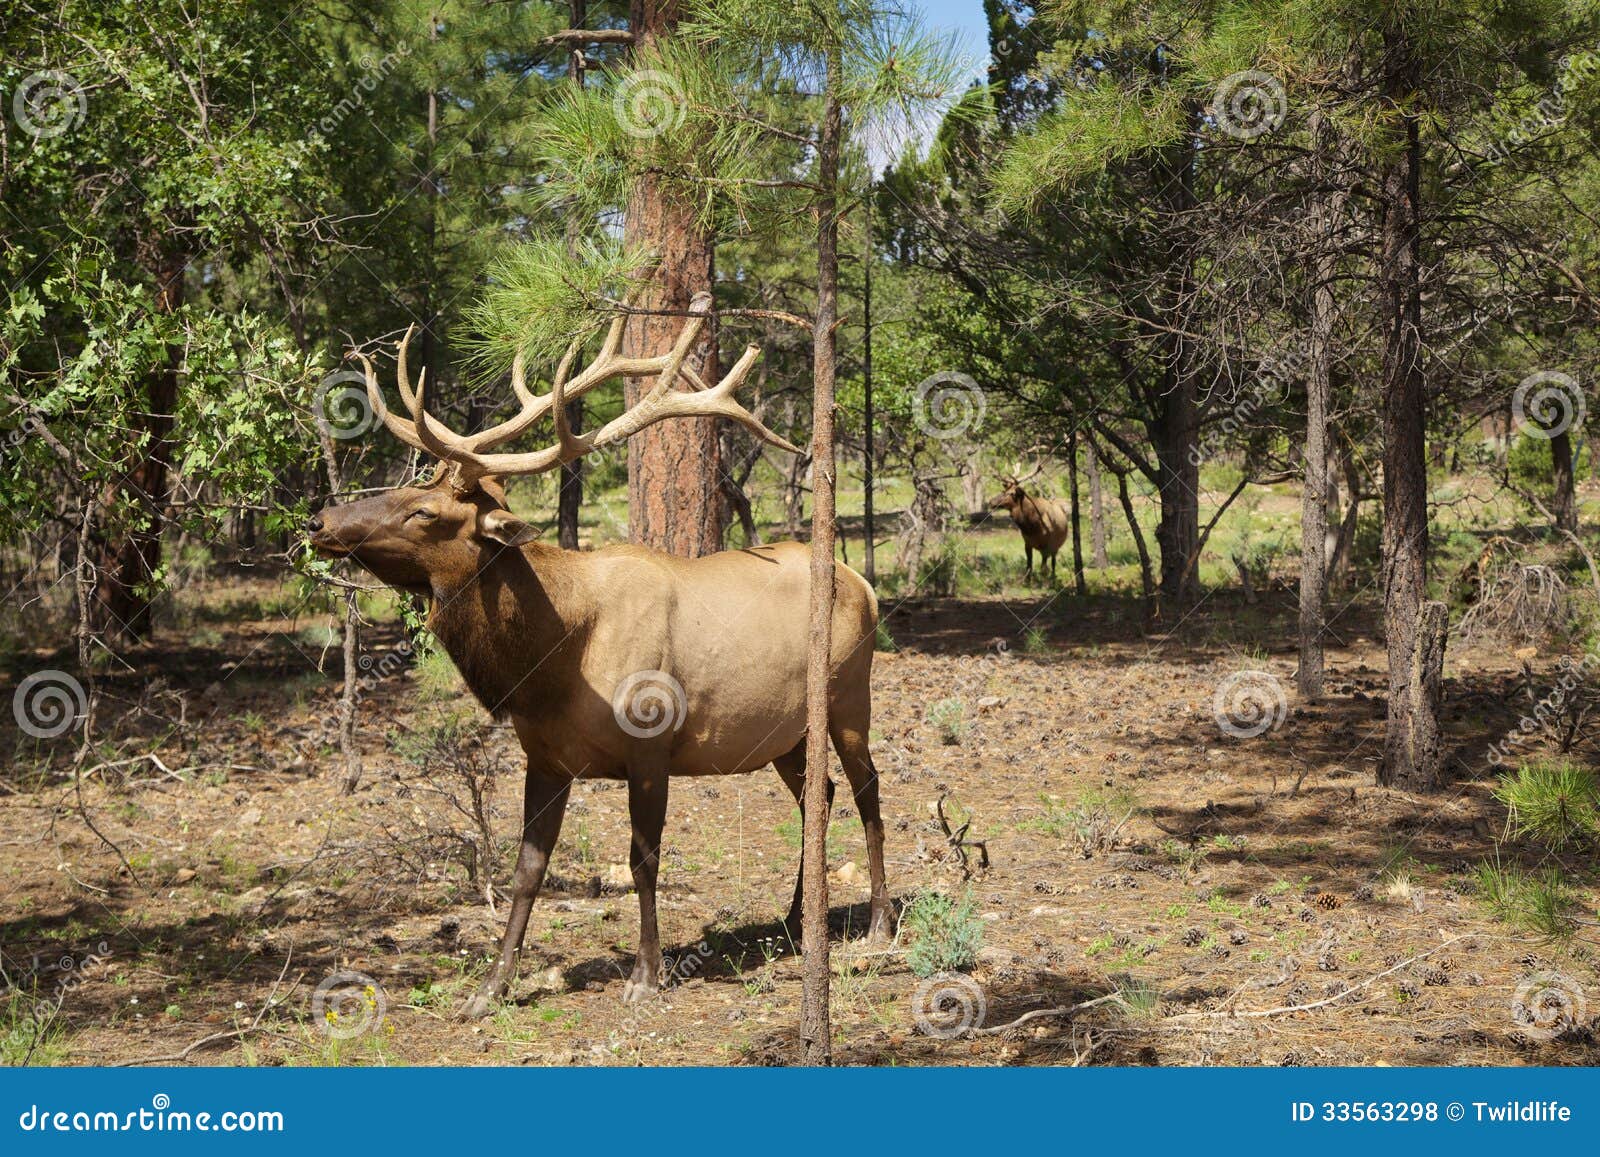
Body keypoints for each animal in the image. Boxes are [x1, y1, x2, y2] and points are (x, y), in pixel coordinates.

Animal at [306, 295, 890, 1019]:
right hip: (788, 732)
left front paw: (646, 972)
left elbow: (644, 859)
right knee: (820, 795)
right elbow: (527, 869)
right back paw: (791, 919)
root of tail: (865, 582)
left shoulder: (651, 743)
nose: (319, 521)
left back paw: (879, 923)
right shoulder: (545, 756)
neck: (552, 663)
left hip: (850, 697)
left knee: (868, 789)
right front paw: (490, 988)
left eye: (423, 512)